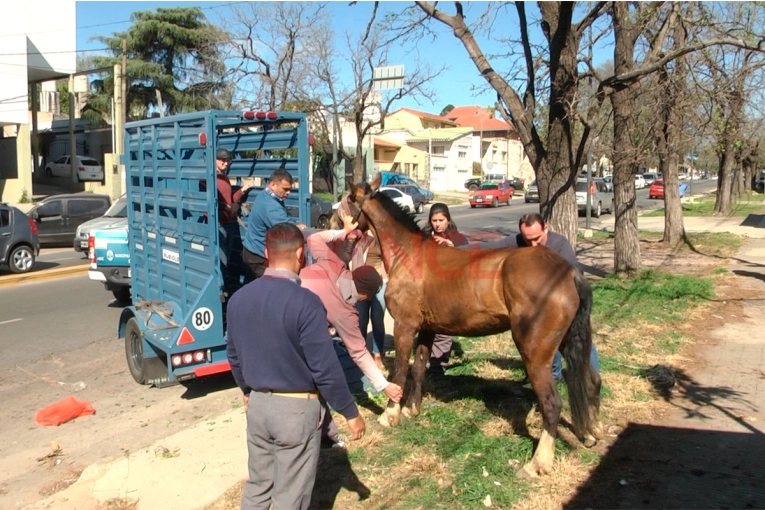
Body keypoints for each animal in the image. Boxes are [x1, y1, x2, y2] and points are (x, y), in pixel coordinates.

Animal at [345, 175, 602, 478]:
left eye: (348, 200)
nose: (331, 222)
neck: (409, 255)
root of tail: (568, 271)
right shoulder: (428, 328)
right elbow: (419, 370)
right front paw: (412, 409)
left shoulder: (404, 326)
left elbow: (399, 372)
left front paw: (390, 414)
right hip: (568, 341)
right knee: (591, 381)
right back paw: (591, 432)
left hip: (535, 352)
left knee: (552, 403)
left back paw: (537, 463)